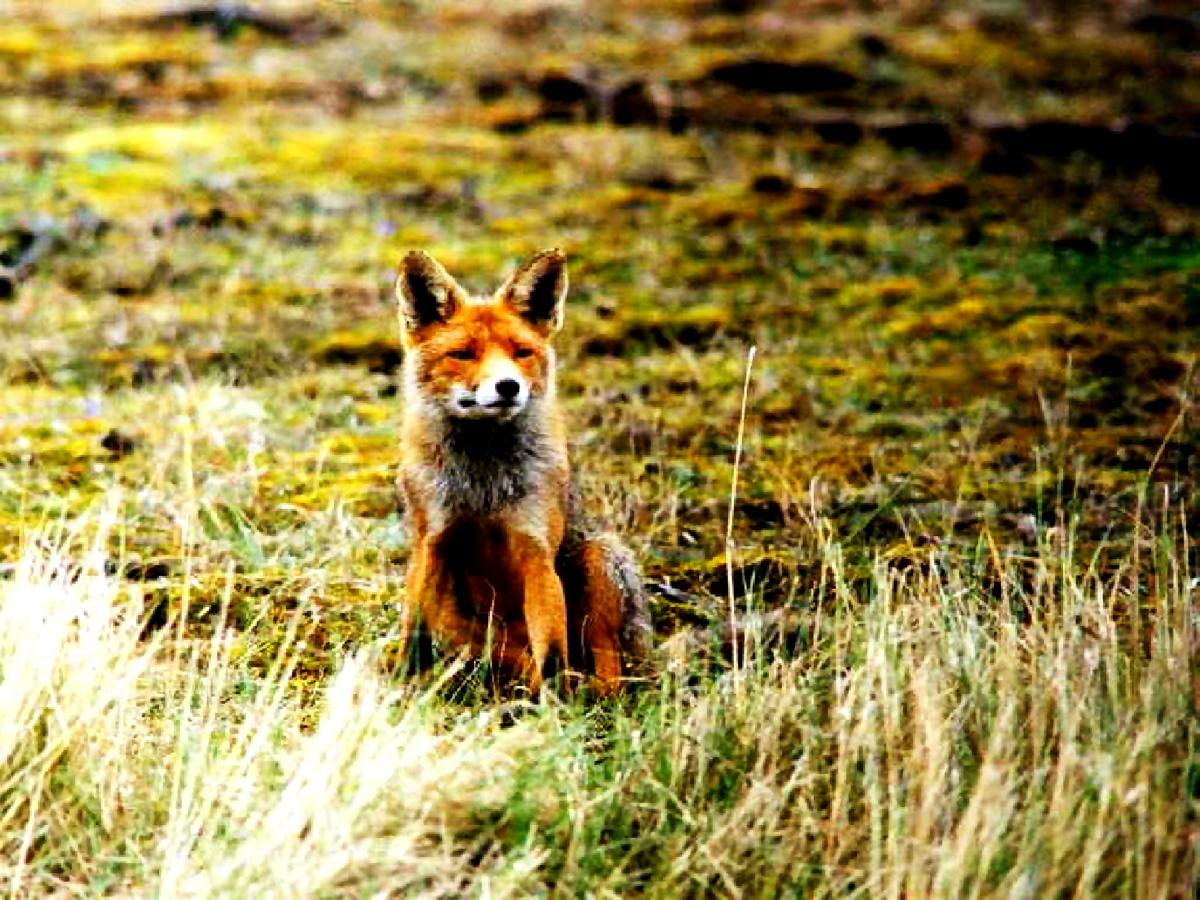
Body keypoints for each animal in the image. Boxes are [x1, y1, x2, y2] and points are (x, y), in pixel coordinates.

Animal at [394, 248, 652, 695]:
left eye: (521, 352)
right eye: (463, 354)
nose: (508, 386)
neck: (483, 483)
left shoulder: (536, 549)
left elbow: (552, 651)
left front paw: (555, 706)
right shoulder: (433, 540)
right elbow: (413, 629)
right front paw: (398, 686)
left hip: (598, 558)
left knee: (604, 662)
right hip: (464, 621)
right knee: (518, 660)